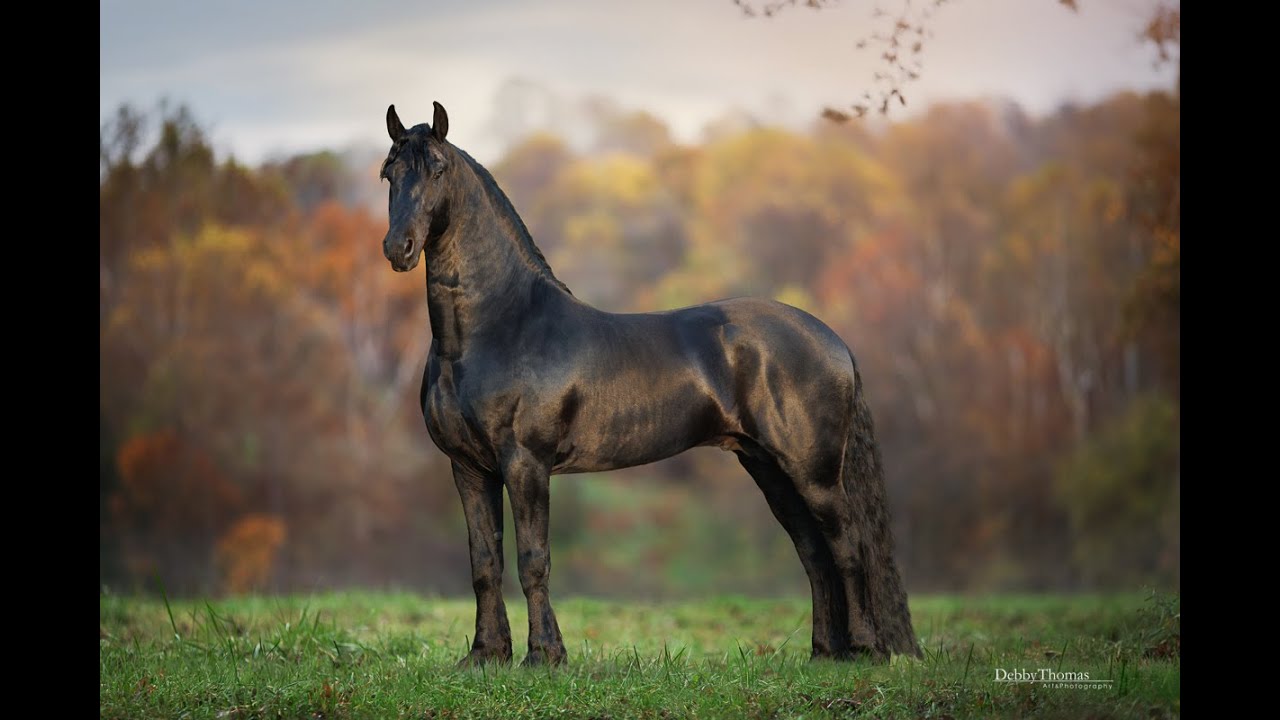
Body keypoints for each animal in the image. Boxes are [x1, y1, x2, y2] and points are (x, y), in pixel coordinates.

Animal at [378, 101, 921, 666]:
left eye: (438, 169)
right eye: (388, 172)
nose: (399, 248)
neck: (499, 327)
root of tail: (833, 340)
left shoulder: (526, 463)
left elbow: (533, 559)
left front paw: (544, 656)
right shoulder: (468, 466)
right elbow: (484, 562)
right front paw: (486, 656)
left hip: (813, 471)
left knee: (847, 547)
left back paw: (865, 650)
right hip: (768, 467)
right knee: (813, 553)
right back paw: (823, 654)